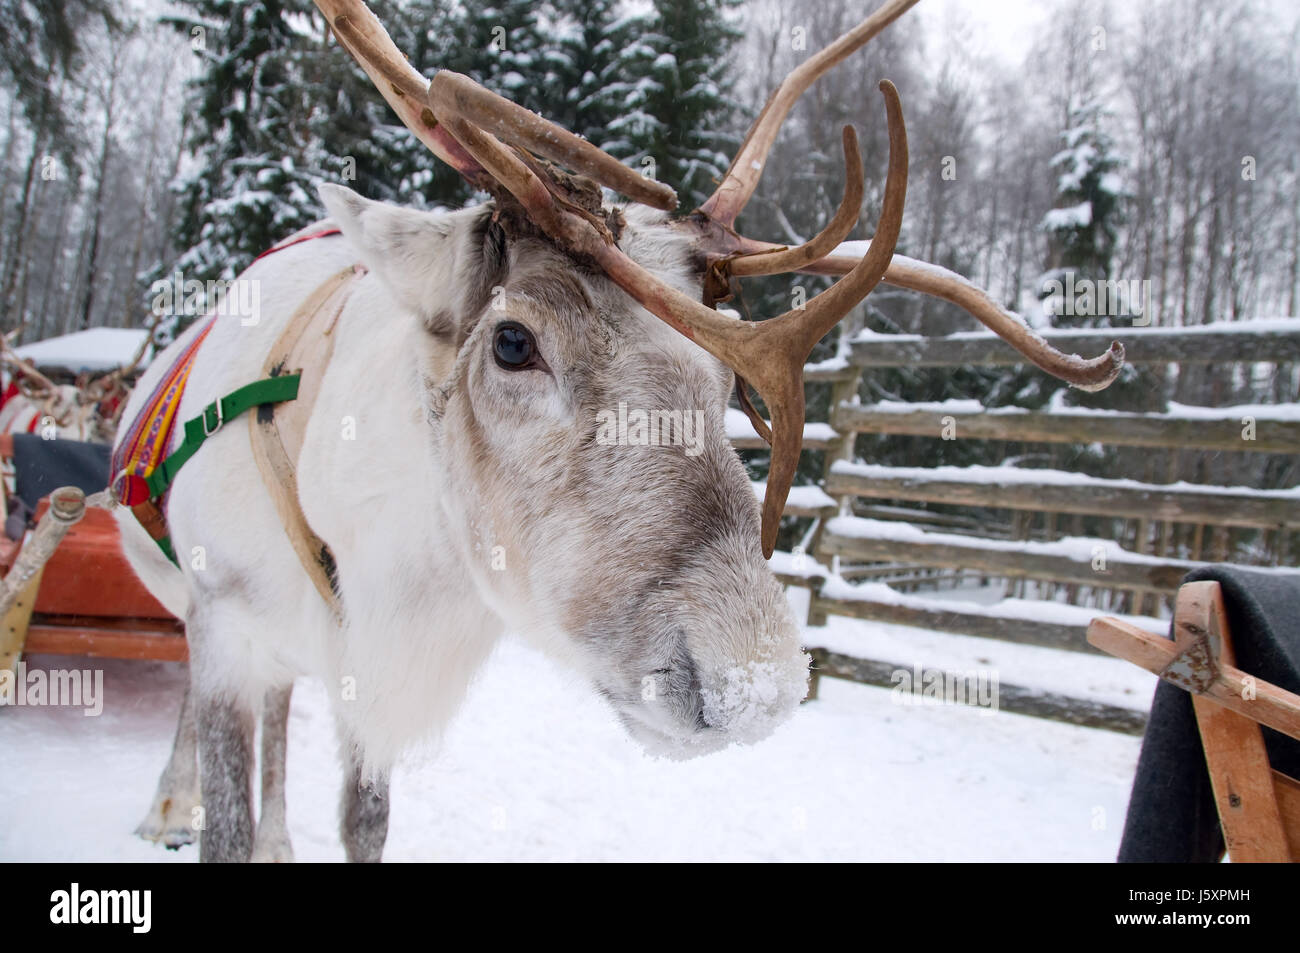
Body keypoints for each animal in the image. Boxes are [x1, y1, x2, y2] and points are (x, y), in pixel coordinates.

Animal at [119, 0, 1121, 862]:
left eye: (725, 382)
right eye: (513, 343)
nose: (753, 684)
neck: (353, 531)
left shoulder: (369, 680)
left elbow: (364, 824)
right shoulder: (225, 626)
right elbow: (222, 825)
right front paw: (193, 812)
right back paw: (166, 801)